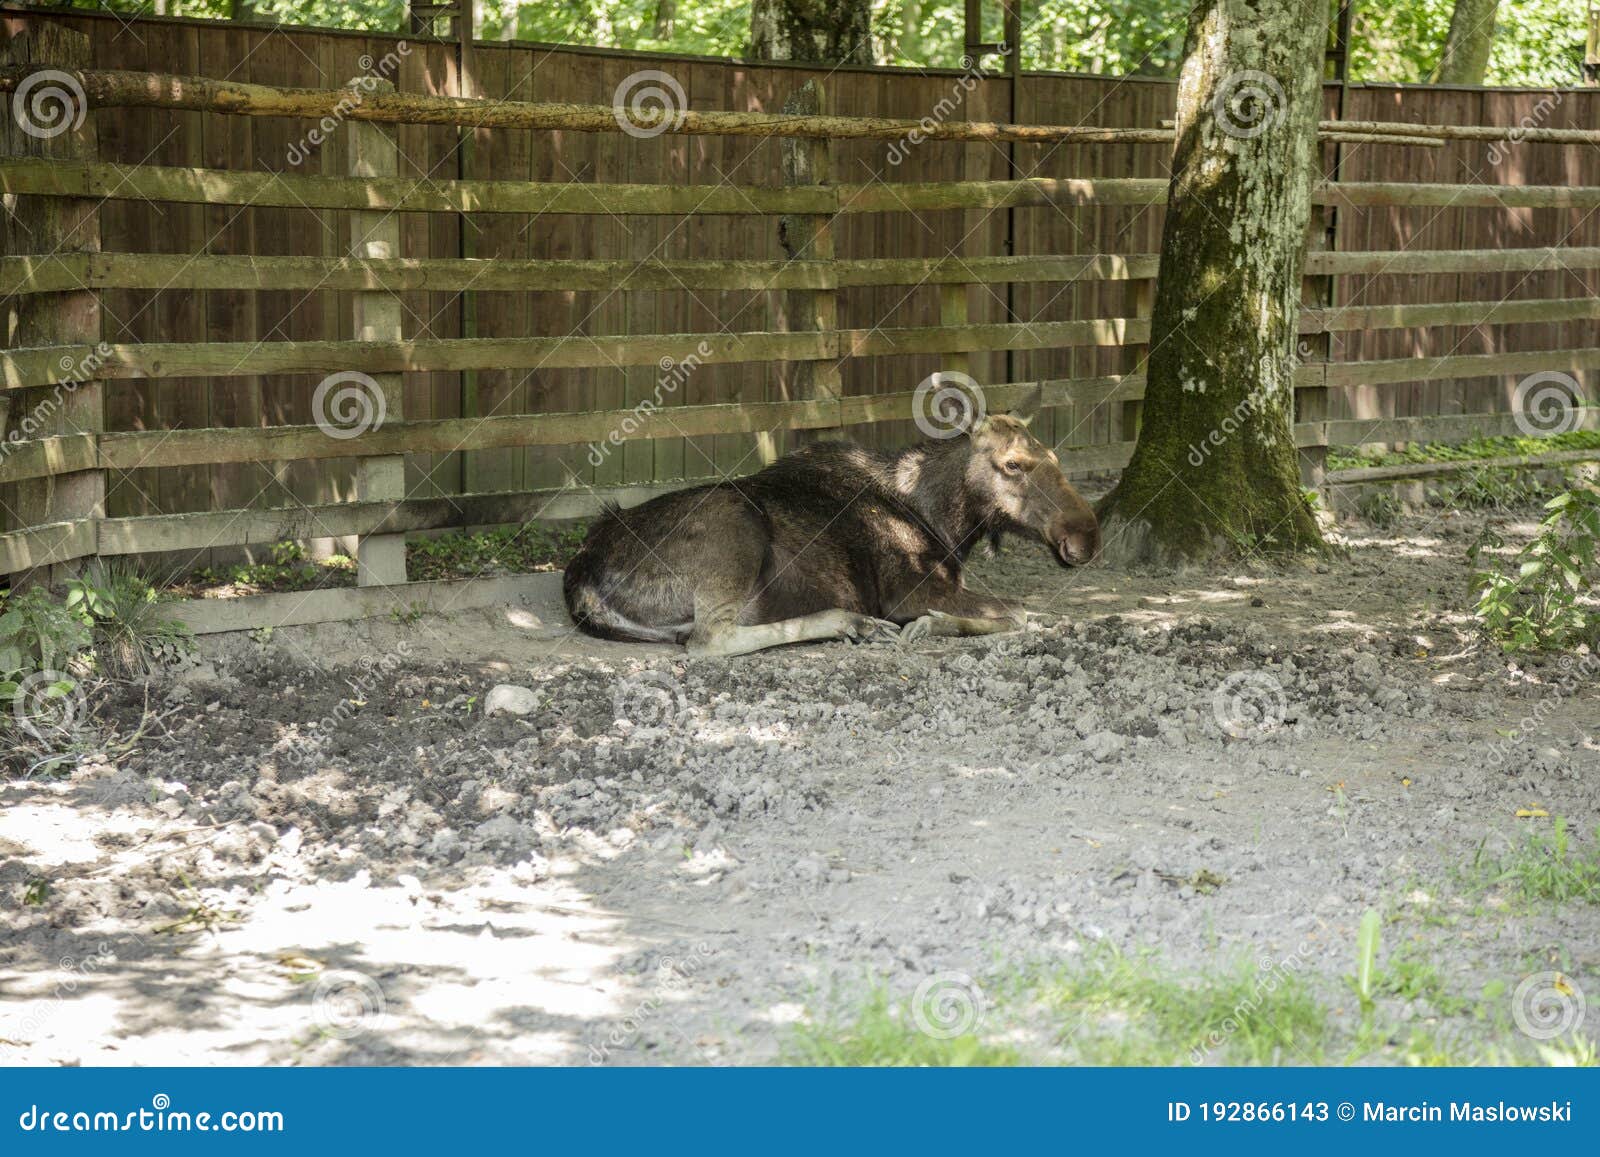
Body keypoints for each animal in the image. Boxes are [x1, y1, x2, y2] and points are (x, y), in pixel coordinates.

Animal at [562, 403, 1100, 657]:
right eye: (1013, 464)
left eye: (1054, 455)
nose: (1086, 535)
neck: (948, 526)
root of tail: (580, 578)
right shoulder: (910, 589)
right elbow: (1021, 612)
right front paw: (927, 625)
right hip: (733, 528)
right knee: (709, 639)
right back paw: (853, 622)